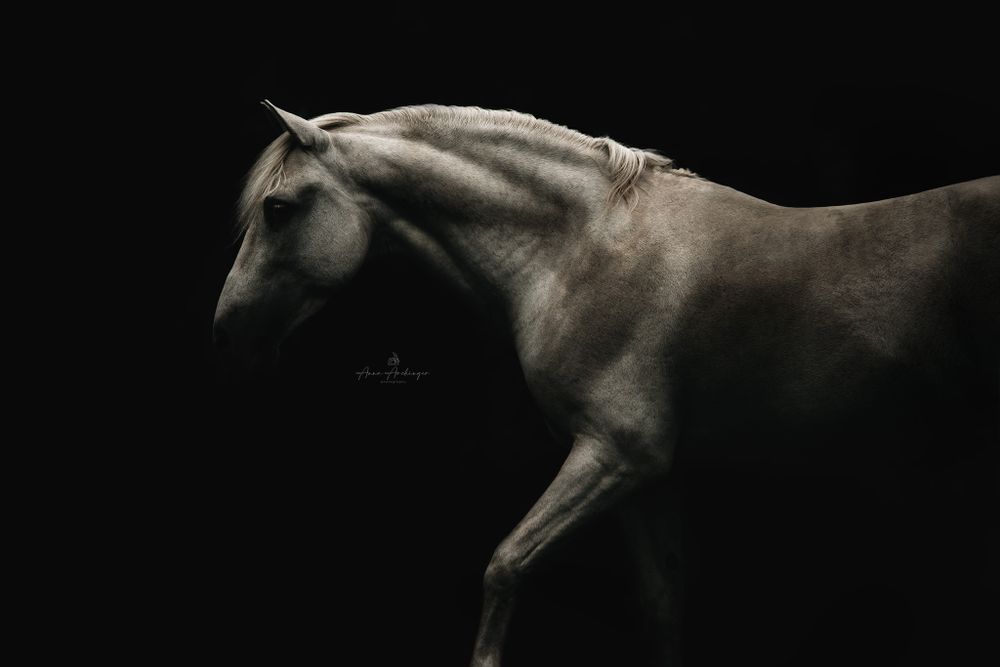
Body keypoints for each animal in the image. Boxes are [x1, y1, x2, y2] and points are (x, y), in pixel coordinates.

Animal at [214, 101, 999, 666]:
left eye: (277, 209)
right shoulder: (649, 480)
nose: (227, 331)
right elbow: (661, 606)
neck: (581, 250)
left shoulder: (617, 454)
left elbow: (505, 567)